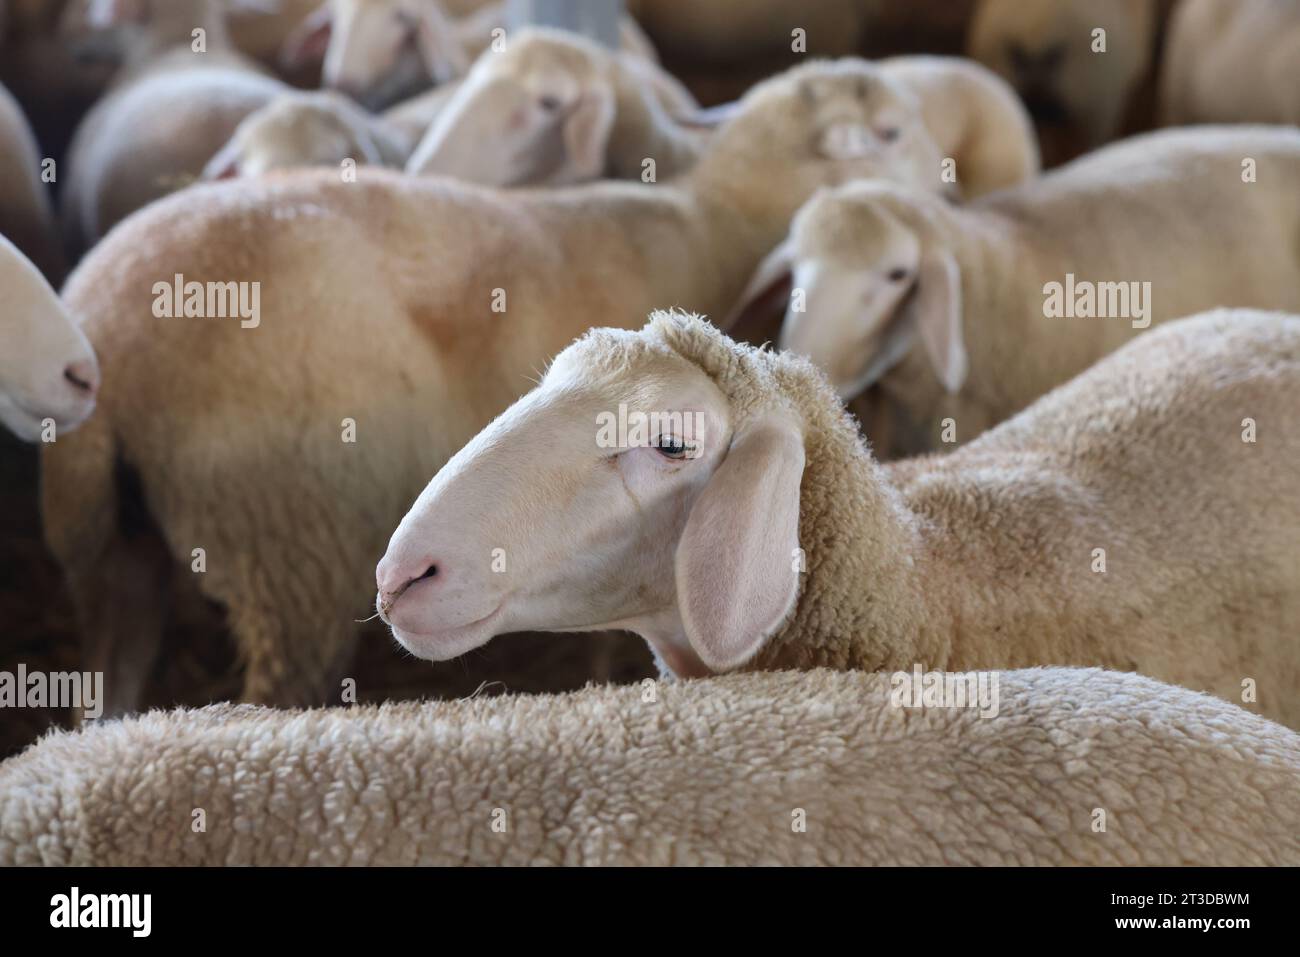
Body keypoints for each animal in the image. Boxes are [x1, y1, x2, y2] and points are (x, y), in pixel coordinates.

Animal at [43, 59, 956, 717]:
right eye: (889, 129)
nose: (951, 181)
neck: (713, 216)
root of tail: (107, 328)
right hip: (286, 543)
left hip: (108, 544)